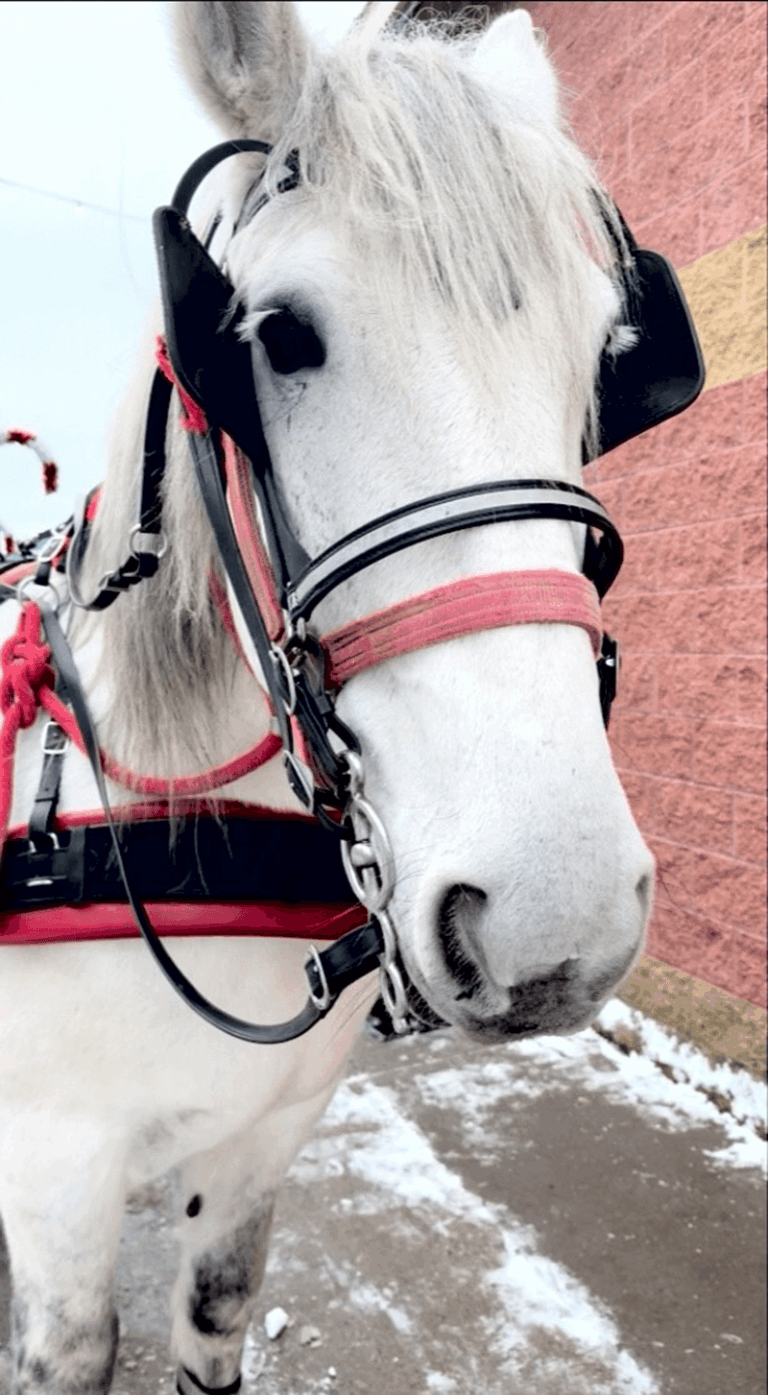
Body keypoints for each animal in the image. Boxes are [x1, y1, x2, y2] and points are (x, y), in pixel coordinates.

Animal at [1, 2, 705, 1390]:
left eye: (605, 356)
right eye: (278, 335)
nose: (557, 920)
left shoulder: (260, 1145)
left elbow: (216, 1313)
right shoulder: (53, 1186)